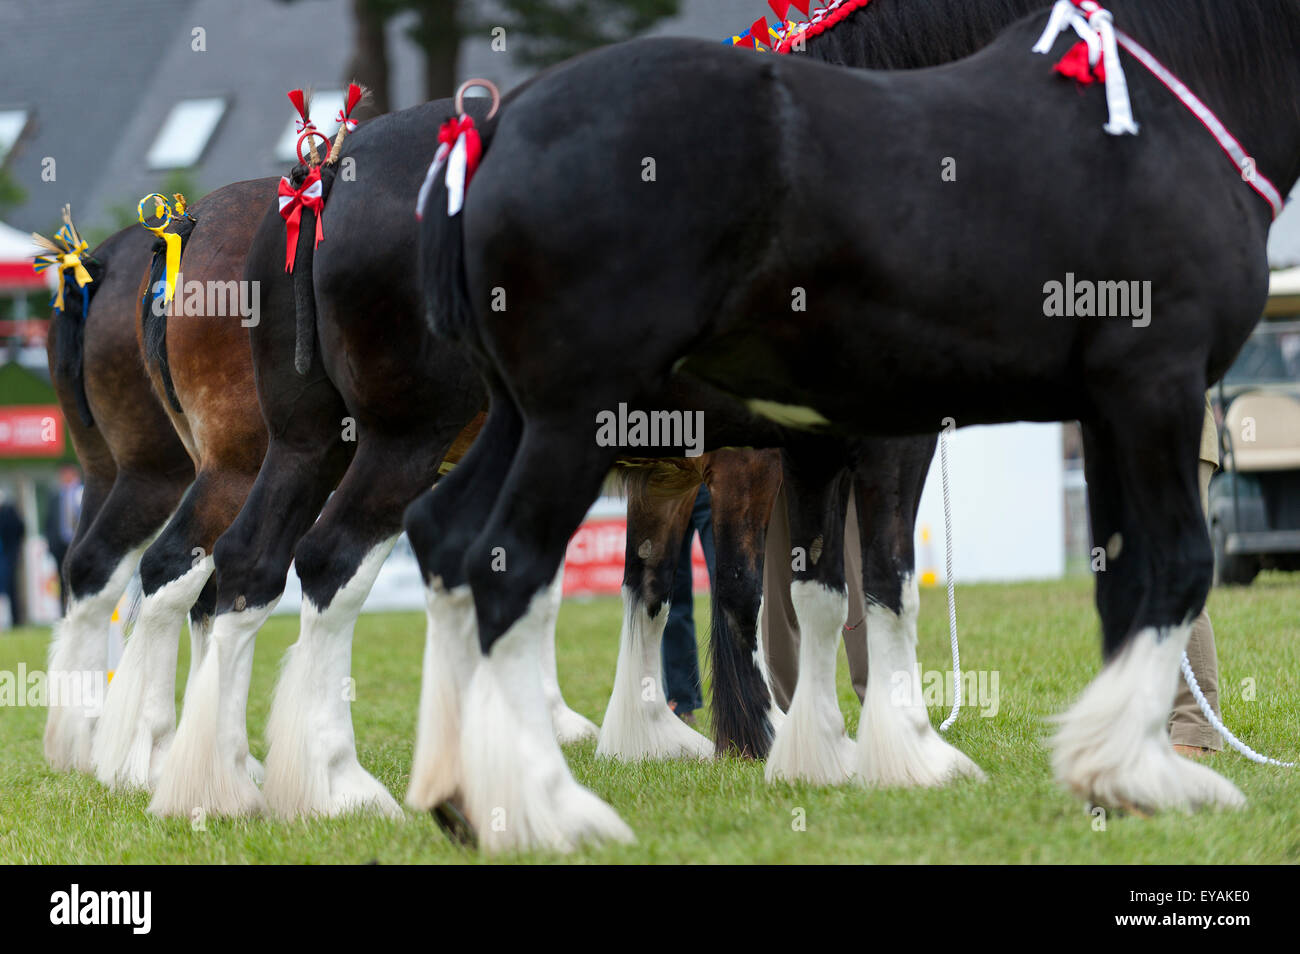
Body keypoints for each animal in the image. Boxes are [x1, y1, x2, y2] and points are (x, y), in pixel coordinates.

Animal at [411, 0, 1300, 849]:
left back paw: (460, 792)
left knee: (453, 540)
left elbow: (824, 589)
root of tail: (488, 136)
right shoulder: (1139, 385)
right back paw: (544, 808)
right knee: (505, 567)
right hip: (567, 425)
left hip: (528, 425)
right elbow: (899, 580)